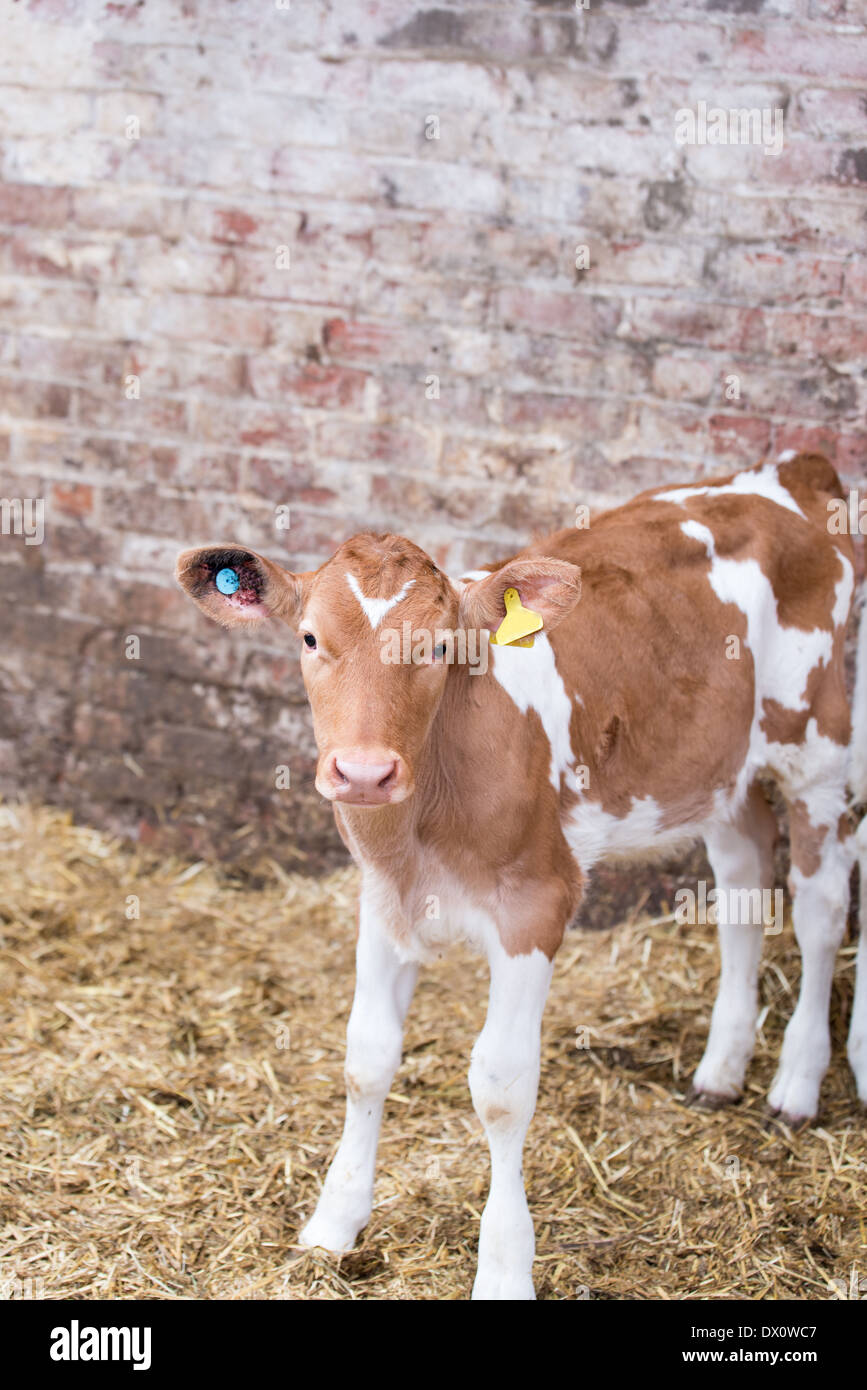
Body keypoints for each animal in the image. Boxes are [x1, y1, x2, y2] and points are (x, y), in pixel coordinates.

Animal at [176, 451, 867, 1300]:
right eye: (309, 638)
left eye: (439, 649)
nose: (364, 772)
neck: (422, 827)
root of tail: (791, 468)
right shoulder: (384, 902)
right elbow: (366, 1058)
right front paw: (333, 1224)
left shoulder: (535, 905)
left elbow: (501, 1089)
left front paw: (504, 1267)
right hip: (717, 771)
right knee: (743, 888)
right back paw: (720, 1069)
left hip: (817, 749)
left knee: (820, 908)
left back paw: (798, 1081)